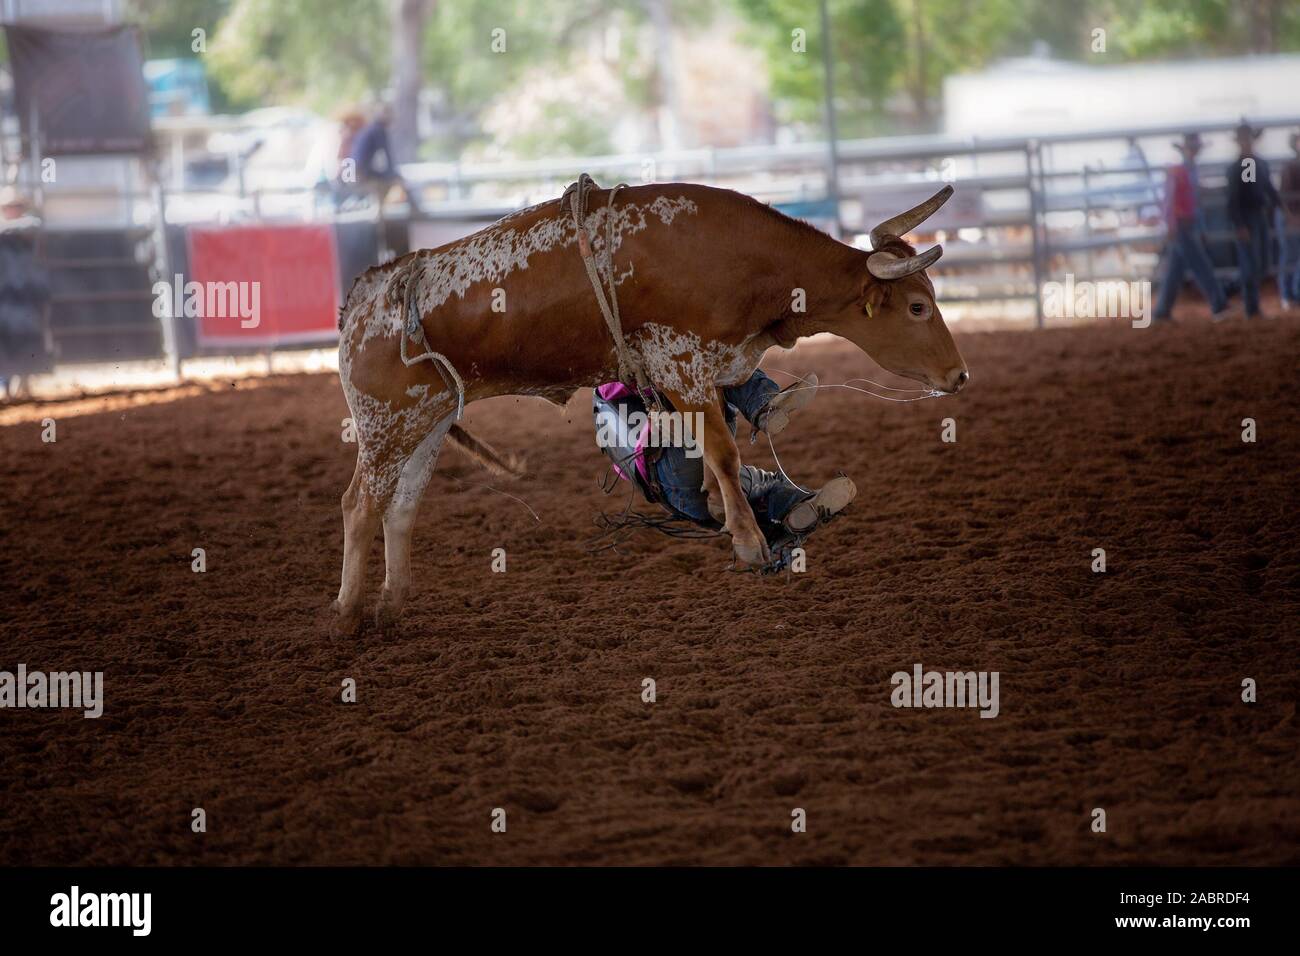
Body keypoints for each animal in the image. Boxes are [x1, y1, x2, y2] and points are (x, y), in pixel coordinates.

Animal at [334, 181, 966, 635]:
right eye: (917, 306)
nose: (959, 375)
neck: (741, 259)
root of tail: (365, 299)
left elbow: (716, 446)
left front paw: (725, 506)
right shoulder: (677, 358)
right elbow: (725, 452)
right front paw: (748, 542)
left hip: (428, 422)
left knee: (400, 508)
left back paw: (391, 604)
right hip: (384, 424)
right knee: (359, 505)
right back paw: (346, 615)